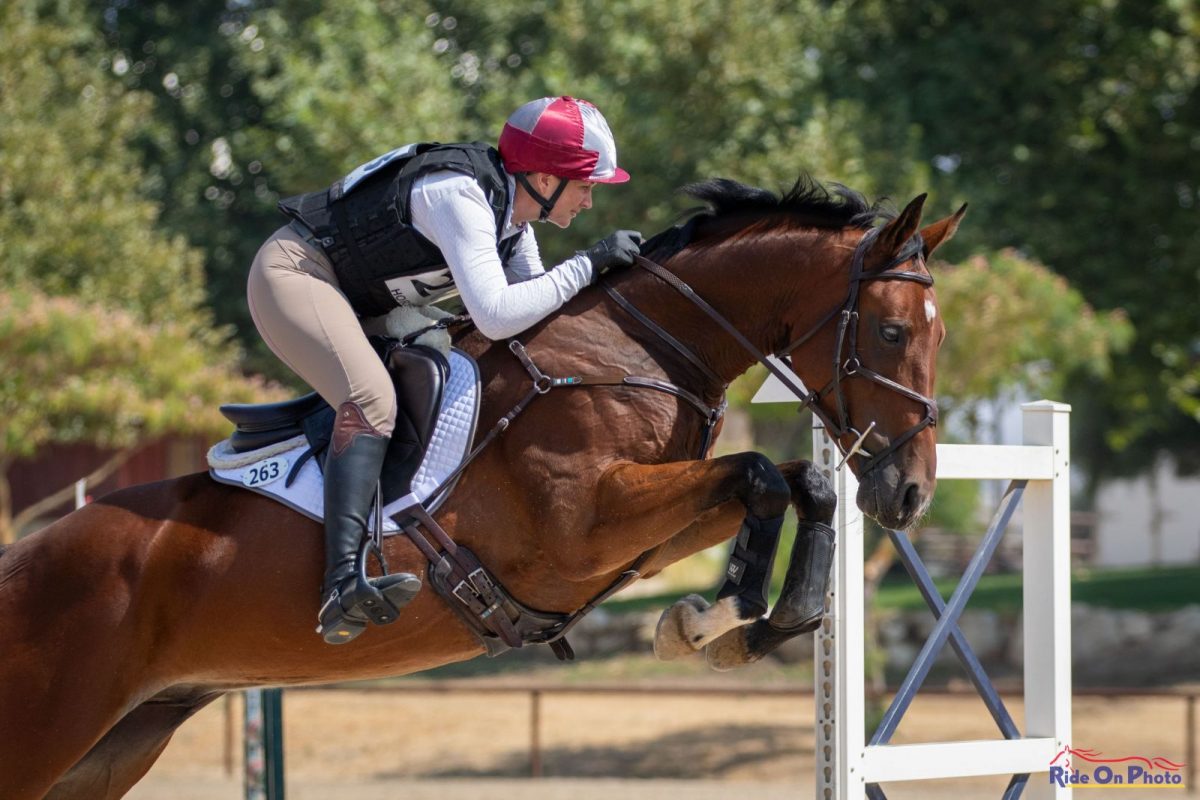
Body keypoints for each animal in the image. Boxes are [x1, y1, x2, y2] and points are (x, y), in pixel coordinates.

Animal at [0, 175, 962, 799]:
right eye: (888, 332)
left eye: (940, 337)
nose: (912, 495)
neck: (632, 348)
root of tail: (21, 562)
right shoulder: (585, 526)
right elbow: (763, 475)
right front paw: (722, 621)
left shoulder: (642, 535)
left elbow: (796, 485)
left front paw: (733, 623)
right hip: (47, 738)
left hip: (113, 749)